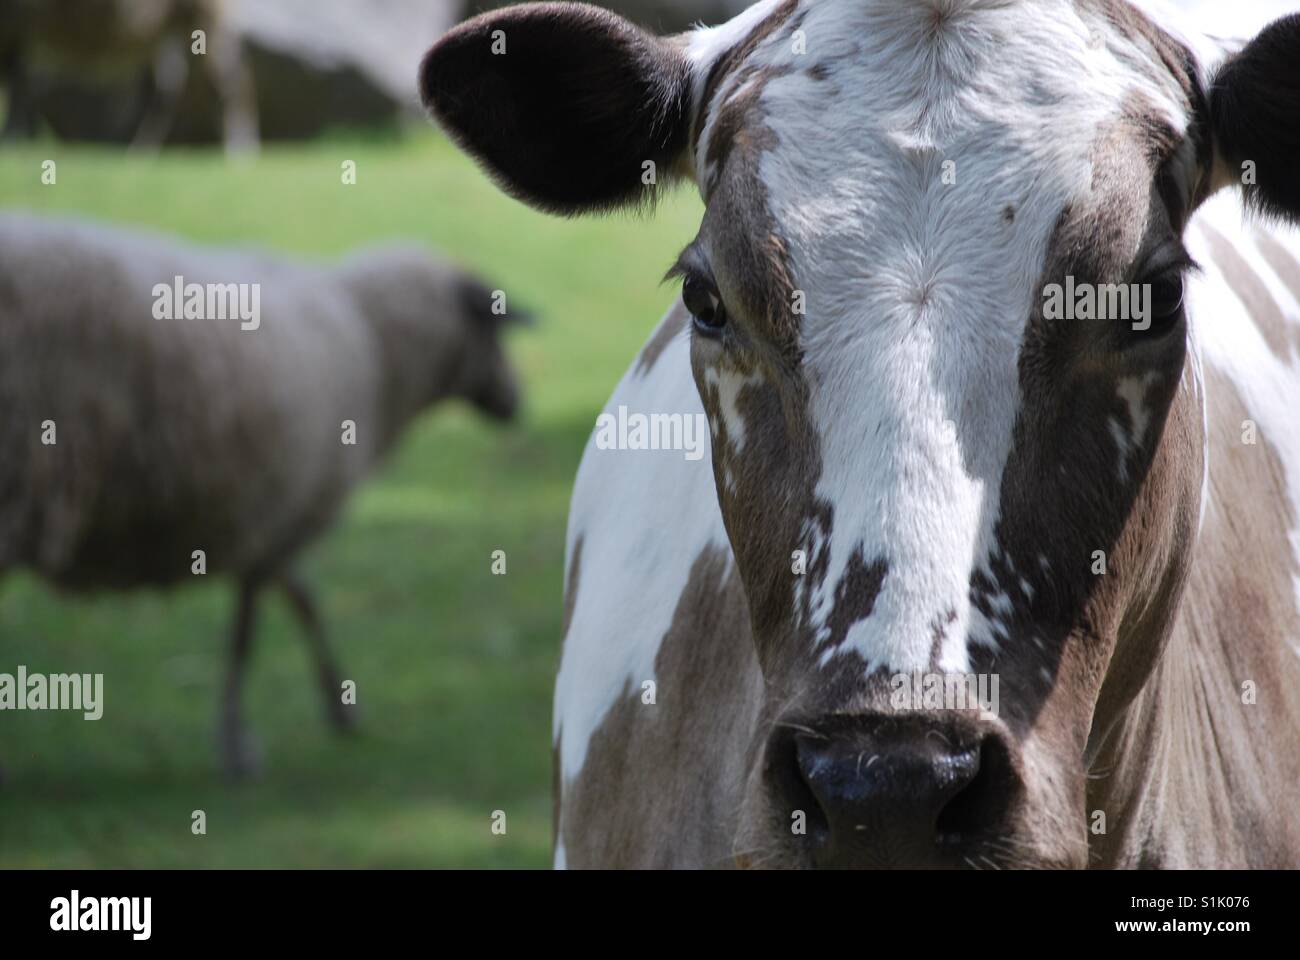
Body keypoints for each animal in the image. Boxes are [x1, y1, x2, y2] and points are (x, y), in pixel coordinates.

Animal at [0, 212, 523, 777]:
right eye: (493, 331)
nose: (517, 404)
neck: (374, 350)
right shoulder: (275, 518)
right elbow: (250, 633)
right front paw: (239, 745)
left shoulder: (274, 521)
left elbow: (302, 599)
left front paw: (338, 706)